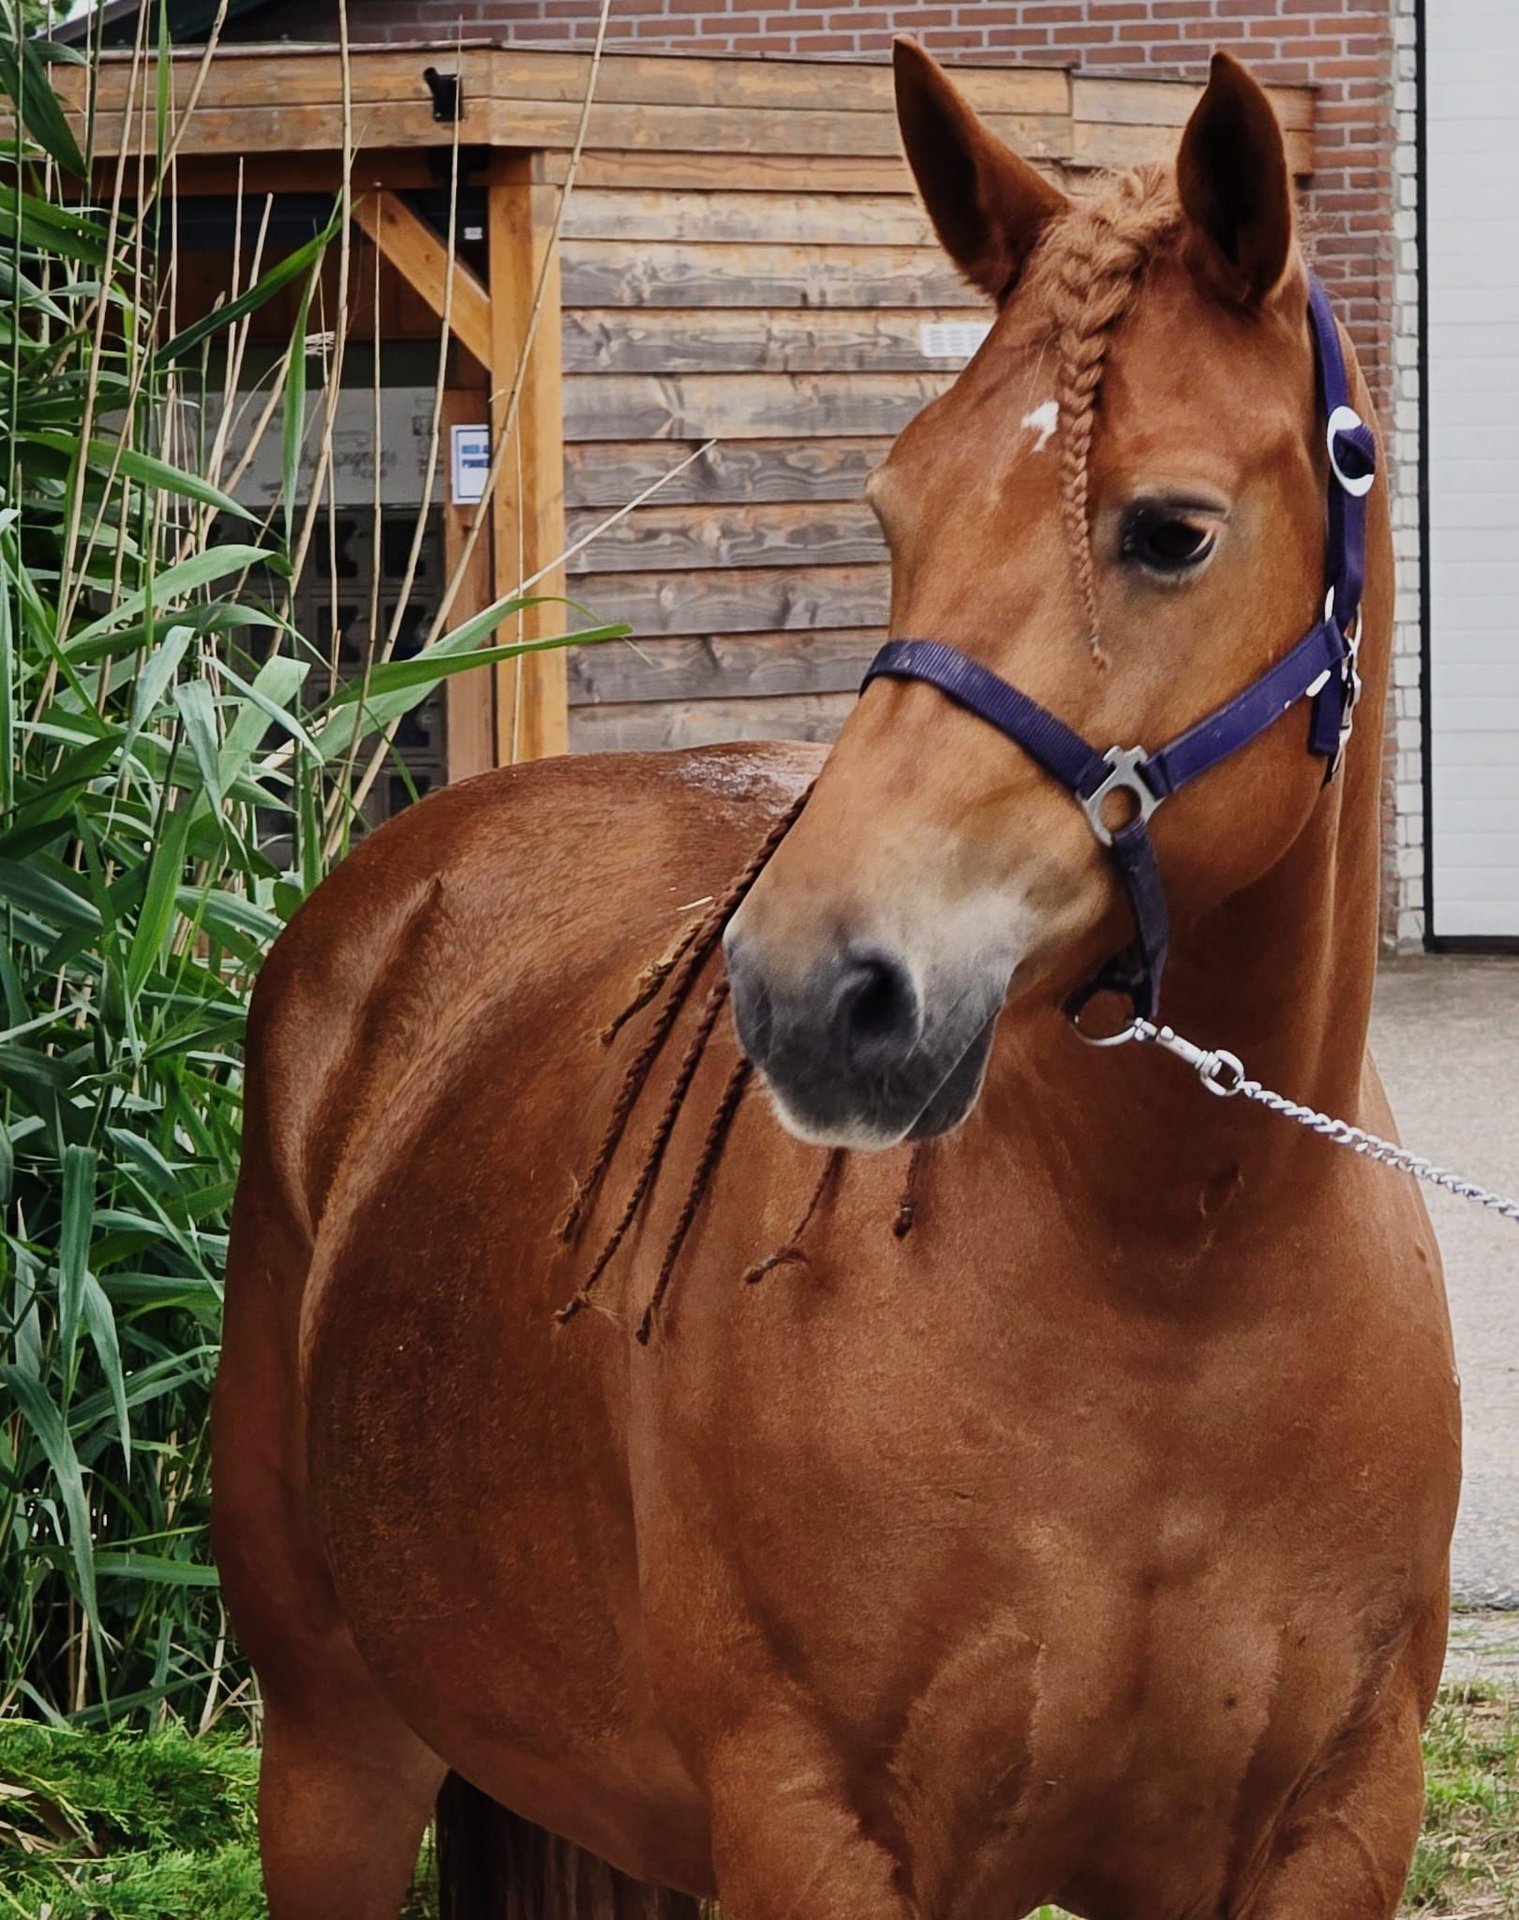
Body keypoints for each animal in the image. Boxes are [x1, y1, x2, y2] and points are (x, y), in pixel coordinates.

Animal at [212, 41, 1461, 1920]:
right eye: (893, 506)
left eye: (1168, 532)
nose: (813, 992)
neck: (1178, 1293)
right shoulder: (814, 1841)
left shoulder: (1325, 1834)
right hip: (331, 1755)